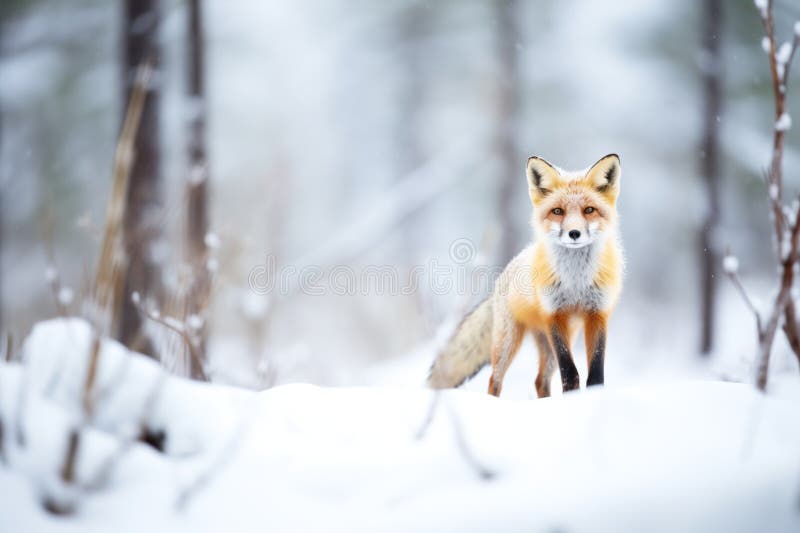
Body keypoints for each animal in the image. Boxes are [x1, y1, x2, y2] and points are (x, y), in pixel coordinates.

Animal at [427, 154, 624, 397]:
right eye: (558, 211)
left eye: (589, 210)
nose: (574, 233)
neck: (575, 280)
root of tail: (504, 274)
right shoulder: (554, 315)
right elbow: (570, 373)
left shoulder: (598, 314)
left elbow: (595, 374)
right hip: (509, 341)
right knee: (495, 379)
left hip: (553, 340)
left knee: (540, 380)